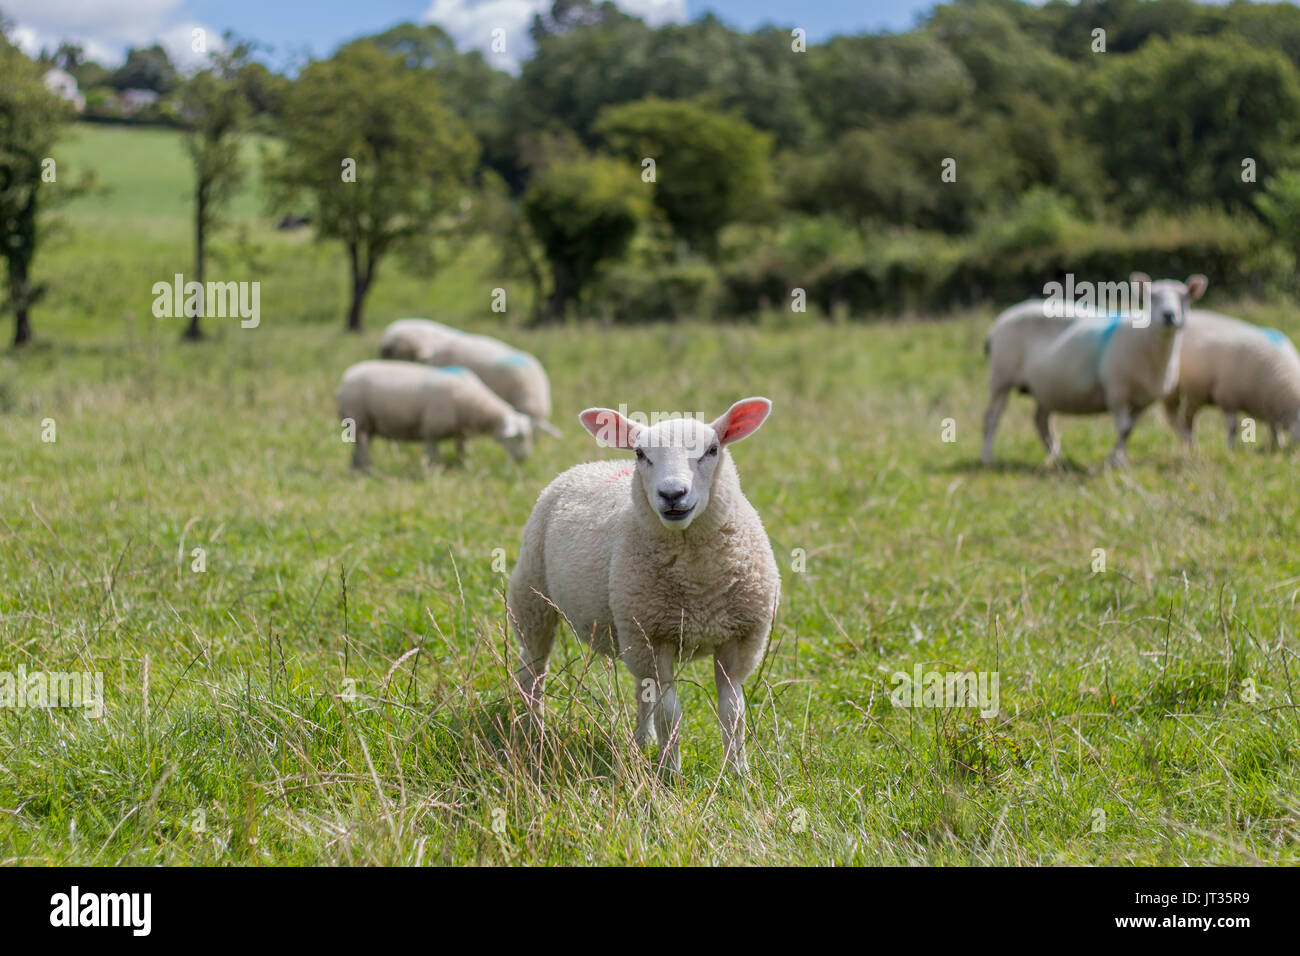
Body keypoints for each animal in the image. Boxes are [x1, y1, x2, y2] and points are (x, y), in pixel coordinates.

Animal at [336, 360, 533, 470]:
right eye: (519, 437)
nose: (524, 459)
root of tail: (345, 378)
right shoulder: (431, 429)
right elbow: (431, 454)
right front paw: (432, 471)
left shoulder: (461, 432)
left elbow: (464, 451)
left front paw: (467, 467)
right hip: (358, 417)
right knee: (362, 446)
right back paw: (368, 469)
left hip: (367, 423)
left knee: (358, 447)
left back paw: (357, 469)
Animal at [507, 398, 780, 775]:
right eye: (640, 453)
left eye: (712, 450)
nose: (672, 494)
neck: (699, 588)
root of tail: (593, 465)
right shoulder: (656, 636)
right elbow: (670, 712)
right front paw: (671, 773)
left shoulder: (738, 638)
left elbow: (732, 711)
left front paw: (737, 773)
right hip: (534, 598)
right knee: (532, 668)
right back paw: (533, 725)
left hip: (630, 628)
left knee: (641, 689)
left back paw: (642, 740)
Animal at [982, 273, 1207, 467]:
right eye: (1153, 297)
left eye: (1185, 297)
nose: (1169, 316)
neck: (1147, 341)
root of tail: (1000, 321)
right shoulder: (1116, 391)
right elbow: (1123, 428)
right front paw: (1116, 461)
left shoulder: (1143, 400)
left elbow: (1129, 429)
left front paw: (1118, 457)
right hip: (1001, 378)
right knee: (991, 418)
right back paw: (988, 457)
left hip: (1046, 386)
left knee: (1041, 420)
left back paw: (1056, 457)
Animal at [1162, 309, 1300, 450]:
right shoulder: (1228, 398)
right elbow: (1233, 428)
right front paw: (1230, 450)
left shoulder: (1268, 403)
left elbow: (1274, 426)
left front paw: (1279, 444)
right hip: (1173, 389)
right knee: (1173, 415)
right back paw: (1186, 440)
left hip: (1197, 394)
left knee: (1188, 416)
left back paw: (1191, 443)